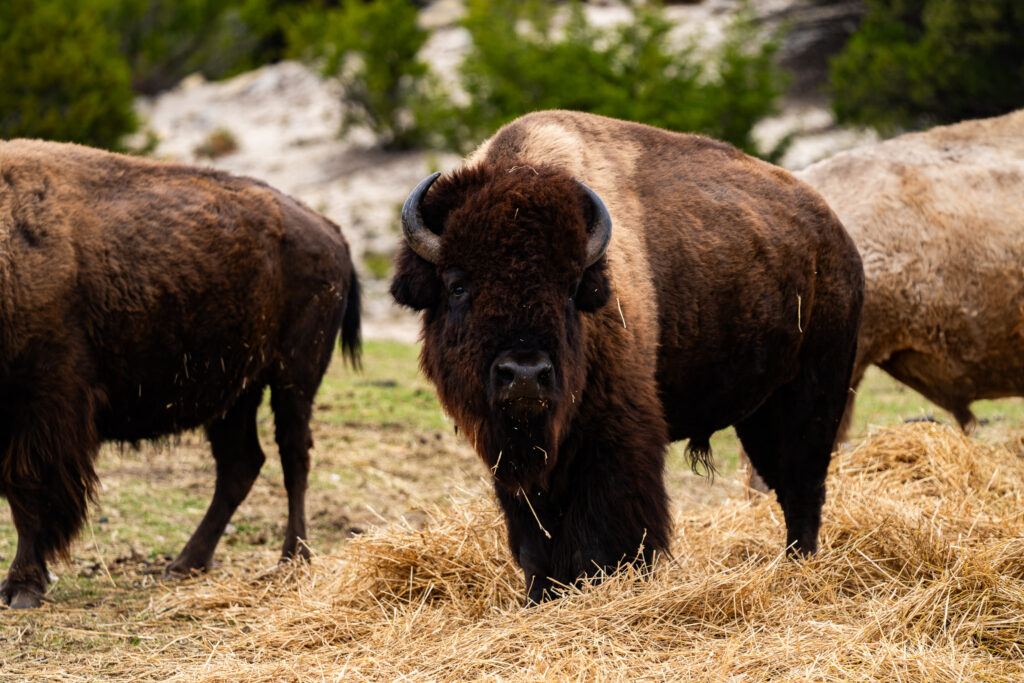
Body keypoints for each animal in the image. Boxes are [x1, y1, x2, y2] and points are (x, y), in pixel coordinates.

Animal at [0, 140, 360, 608]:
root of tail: (332, 232)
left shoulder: (43, 404)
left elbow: (27, 491)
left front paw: (22, 588)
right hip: (234, 393)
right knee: (241, 464)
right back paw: (186, 563)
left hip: (294, 378)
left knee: (293, 457)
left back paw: (290, 559)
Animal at [391, 110, 864, 603]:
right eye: (457, 285)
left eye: (570, 288)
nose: (525, 374)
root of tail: (835, 237)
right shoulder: (518, 461)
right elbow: (534, 541)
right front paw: (540, 598)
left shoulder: (616, 434)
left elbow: (604, 534)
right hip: (761, 410)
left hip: (813, 394)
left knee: (802, 486)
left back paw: (799, 568)